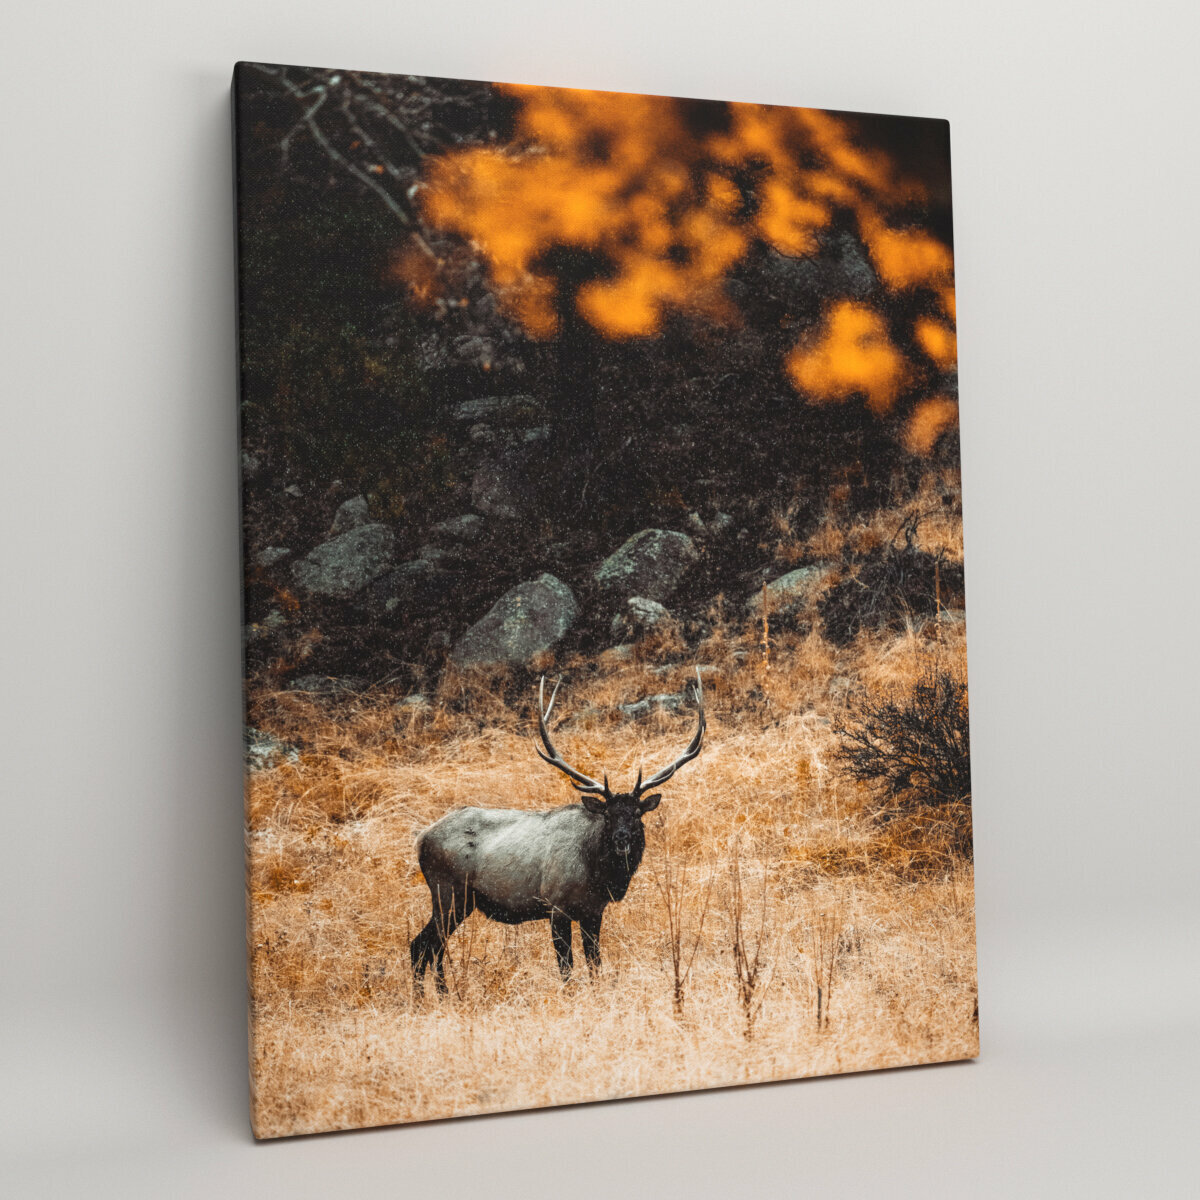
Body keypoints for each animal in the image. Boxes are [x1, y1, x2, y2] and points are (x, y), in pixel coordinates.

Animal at [410, 671, 706, 993]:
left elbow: (595, 963)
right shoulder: (556, 906)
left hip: (458, 899)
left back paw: (432, 995)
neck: (597, 874)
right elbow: (566, 966)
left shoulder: (593, 911)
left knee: (427, 946)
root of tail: (421, 839)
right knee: (424, 945)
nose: (622, 839)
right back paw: (435, 994)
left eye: (637, 814)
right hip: (448, 891)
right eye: (608, 815)